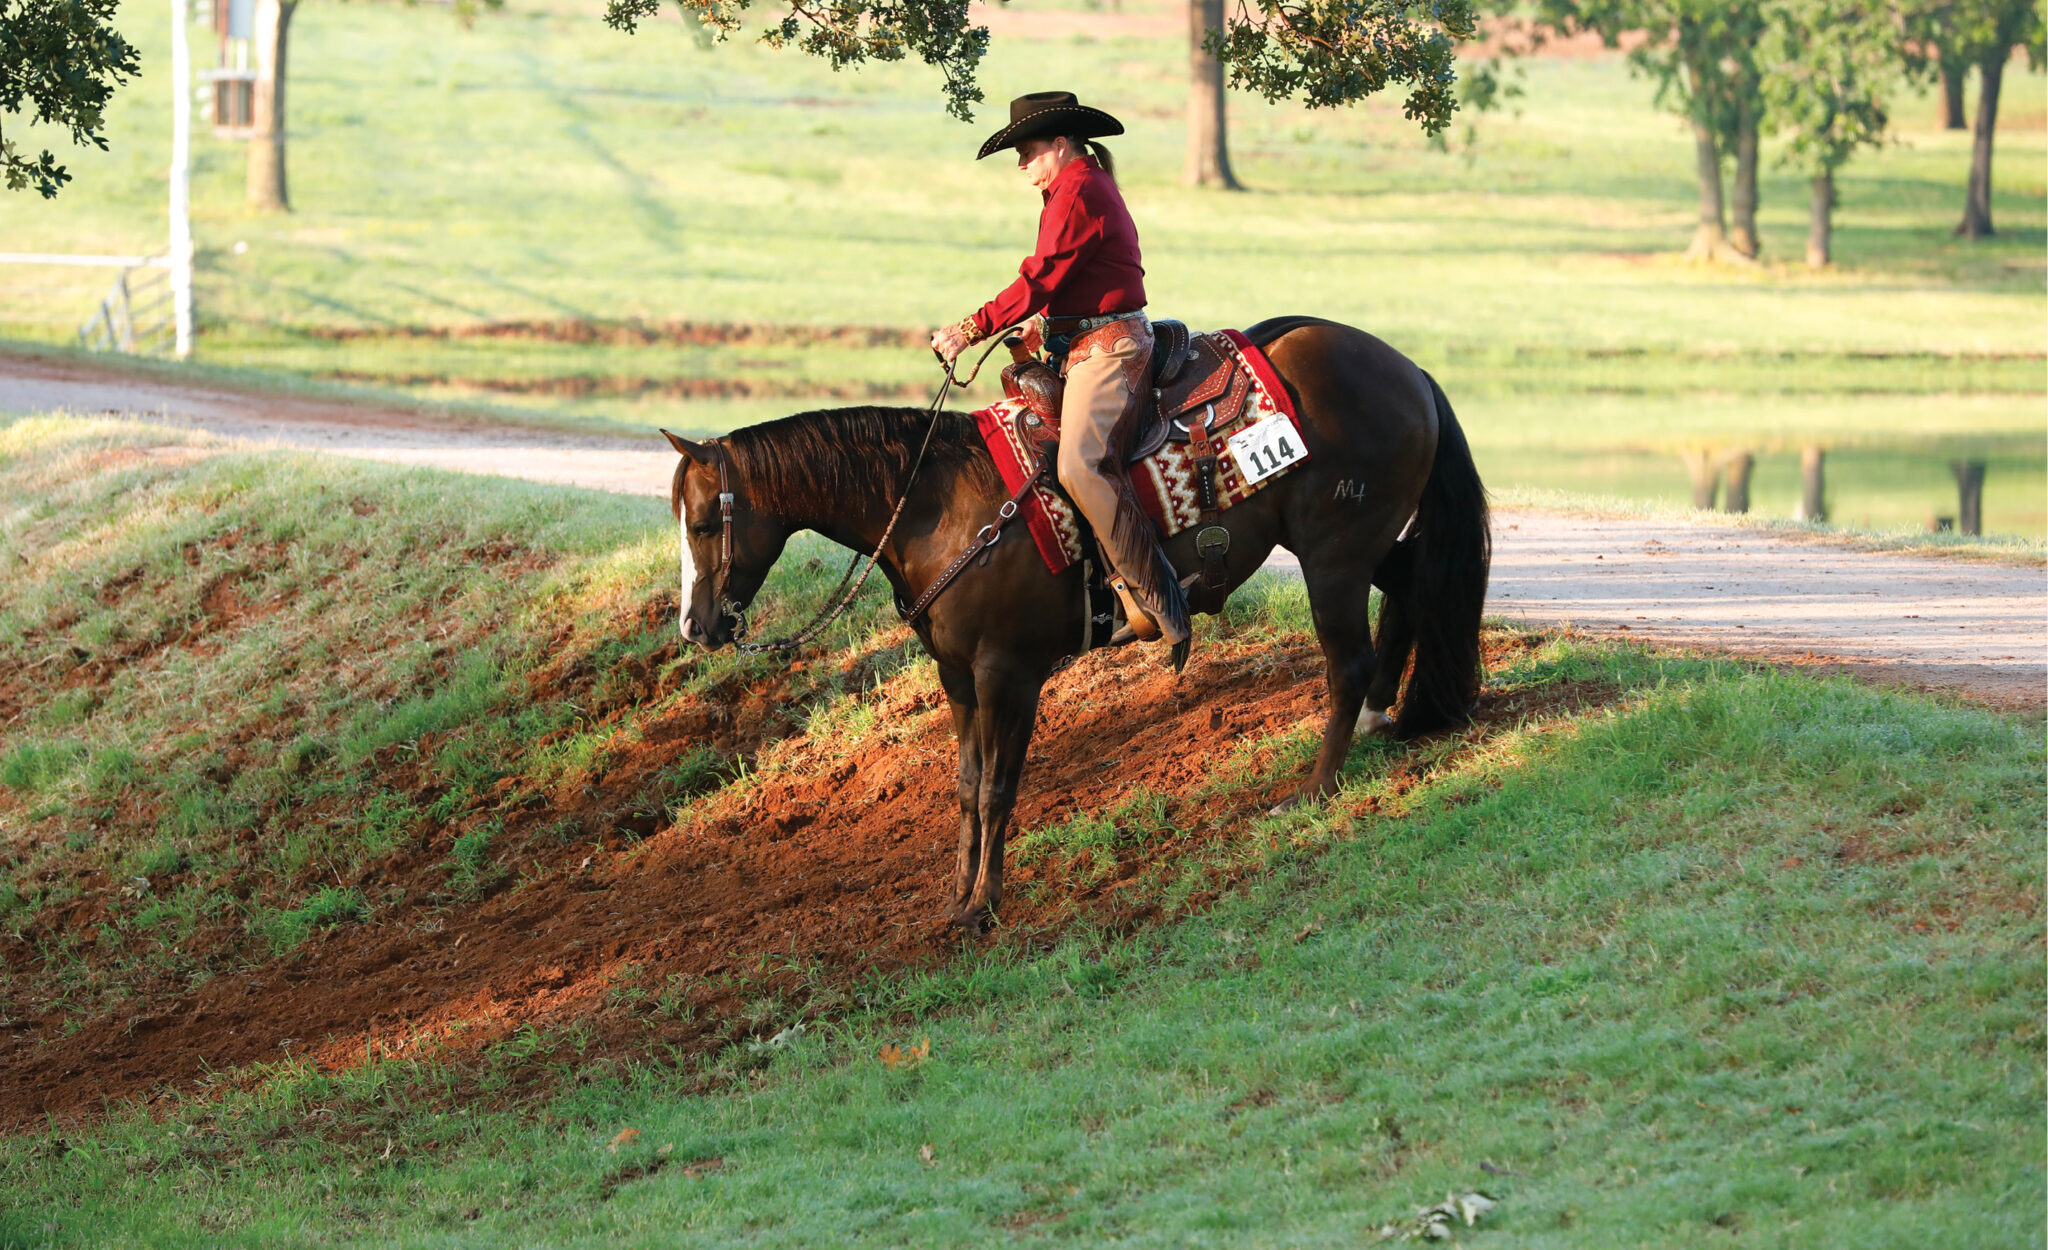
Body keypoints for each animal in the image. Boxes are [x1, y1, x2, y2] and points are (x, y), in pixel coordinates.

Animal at [662, 316, 1490, 932]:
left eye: (702, 523)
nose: (695, 629)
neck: (939, 502)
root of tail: (1409, 370)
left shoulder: (1009, 674)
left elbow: (1000, 788)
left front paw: (984, 908)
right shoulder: (956, 676)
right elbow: (966, 785)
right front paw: (957, 896)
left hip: (1332, 554)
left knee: (1346, 661)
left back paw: (1316, 789)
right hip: (1358, 547)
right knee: (1415, 587)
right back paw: (1387, 713)